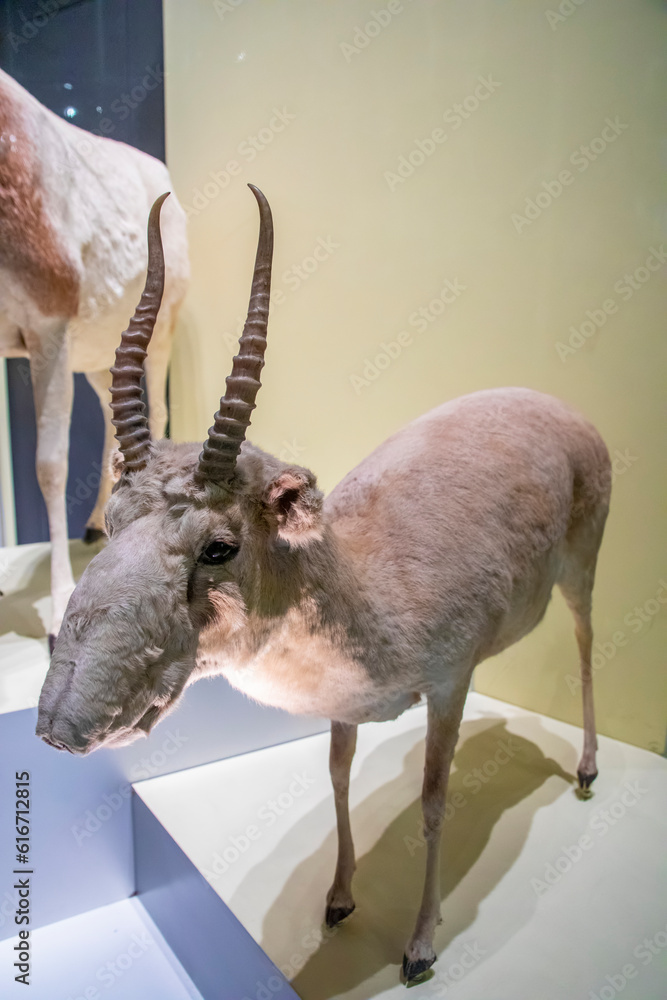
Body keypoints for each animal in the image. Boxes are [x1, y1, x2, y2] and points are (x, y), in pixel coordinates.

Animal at [0, 67, 188, 642]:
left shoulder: (48, 330)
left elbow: (50, 464)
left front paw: (58, 605)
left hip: (160, 332)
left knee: (159, 409)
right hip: (96, 357)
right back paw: (94, 526)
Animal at [37, 185, 611, 984]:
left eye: (220, 545)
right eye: (111, 522)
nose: (59, 723)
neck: (368, 584)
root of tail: (559, 405)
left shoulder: (451, 682)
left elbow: (434, 800)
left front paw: (419, 946)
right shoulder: (345, 706)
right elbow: (337, 773)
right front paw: (338, 900)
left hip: (584, 566)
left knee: (587, 643)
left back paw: (587, 769)